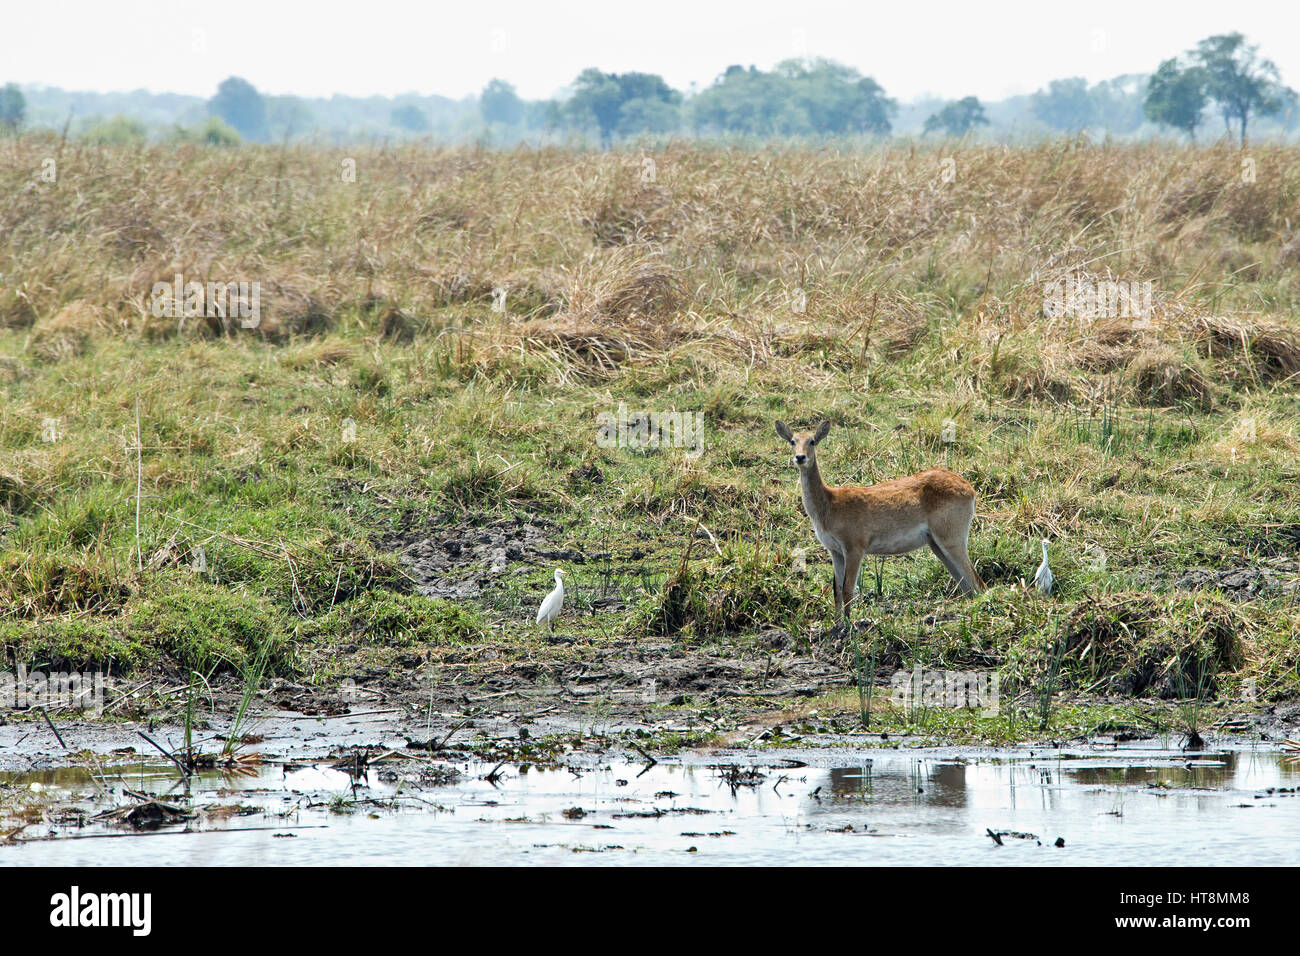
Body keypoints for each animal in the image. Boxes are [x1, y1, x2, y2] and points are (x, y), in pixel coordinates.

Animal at [775, 420, 986, 621]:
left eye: (812, 441)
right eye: (792, 441)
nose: (800, 457)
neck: (829, 504)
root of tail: (970, 489)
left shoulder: (854, 549)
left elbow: (848, 589)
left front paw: (848, 627)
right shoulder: (835, 551)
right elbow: (837, 591)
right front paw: (836, 624)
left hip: (952, 540)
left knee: (978, 583)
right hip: (936, 545)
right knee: (968, 587)